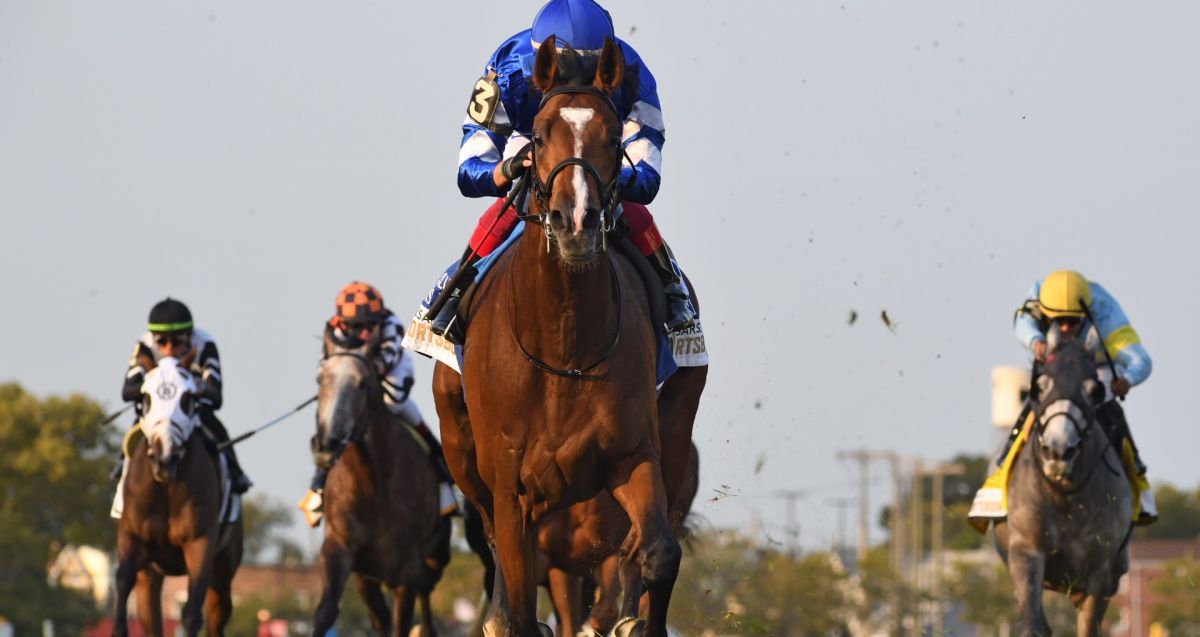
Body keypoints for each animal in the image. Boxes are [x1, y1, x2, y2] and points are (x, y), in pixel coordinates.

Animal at [111, 357, 243, 637]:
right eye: (146, 397)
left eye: (188, 398)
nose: (165, 456)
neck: (166, 488)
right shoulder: (132, 536)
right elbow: (123, 579)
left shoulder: (199, 542)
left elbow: (192, 611)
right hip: (151, 576)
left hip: (223, 572)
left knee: (216, 617)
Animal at [311, 328, 452, 637]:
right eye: (320, 379)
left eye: (362, 383)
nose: (326, 445)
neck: (373, 489)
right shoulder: (342, 553)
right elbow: (326, 612)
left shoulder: (406, 573)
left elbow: (402, 622)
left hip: (434, 560)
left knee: (426, 606)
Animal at [433, 36, 681, 637]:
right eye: (541, 135)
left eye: (613, 137)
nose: (577, 221)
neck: (564, 344)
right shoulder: (511, 490)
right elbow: (520, 597)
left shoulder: (634, 455)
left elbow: (659, 553)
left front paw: (633, 621)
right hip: (465, 458)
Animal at [994, 338, 1133, 636]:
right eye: (1041, 386)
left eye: (1093, 389)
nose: (1058, 451)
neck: (1065, 497)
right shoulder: (1027, 551)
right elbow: (1032, 624)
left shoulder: (1100, 569)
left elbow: (1089, 627)